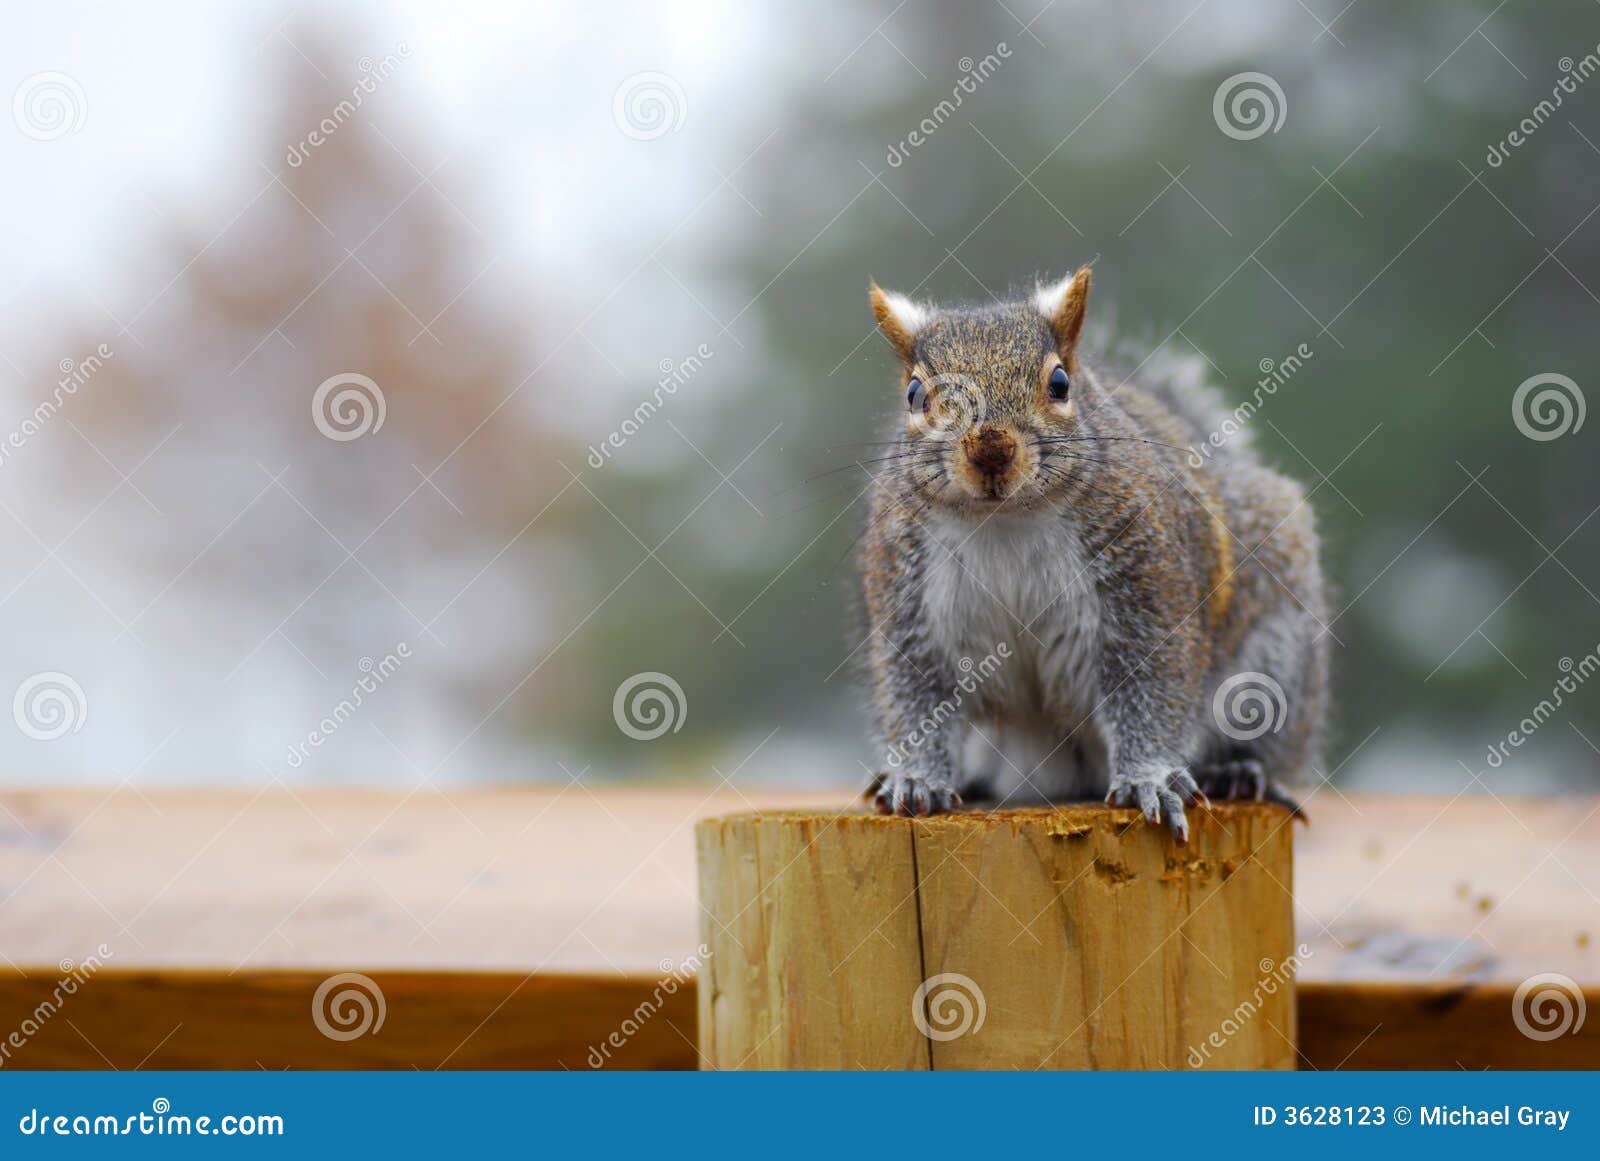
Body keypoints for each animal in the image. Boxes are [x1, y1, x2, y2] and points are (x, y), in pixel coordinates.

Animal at [856, 265, 1328, 841]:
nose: (991, 449)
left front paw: (1150, 779)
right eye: (915, 394)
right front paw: (916, 779)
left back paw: (1237, 770)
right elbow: (917, 696)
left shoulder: (1144, 577)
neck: (1005, 521)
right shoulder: (908, 598)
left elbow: (1151, 687)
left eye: (1060, 384)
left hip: (1274, 662)